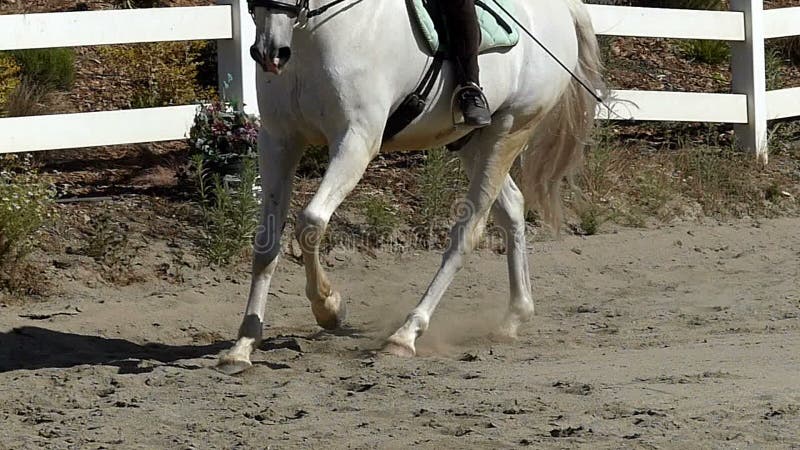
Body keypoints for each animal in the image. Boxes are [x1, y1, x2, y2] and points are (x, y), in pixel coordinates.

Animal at [217, 0, 604, 374]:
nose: (270, 53)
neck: (312, 32)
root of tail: (563, 9)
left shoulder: (357, 139)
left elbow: (310, 222)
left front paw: (329, 308)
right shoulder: (279, 140)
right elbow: (266, 244)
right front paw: (243, 346)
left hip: (510, 130)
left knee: (469, 230)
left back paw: (405, 334)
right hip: (475, 142)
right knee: (511, 208)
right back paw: (514, 317)